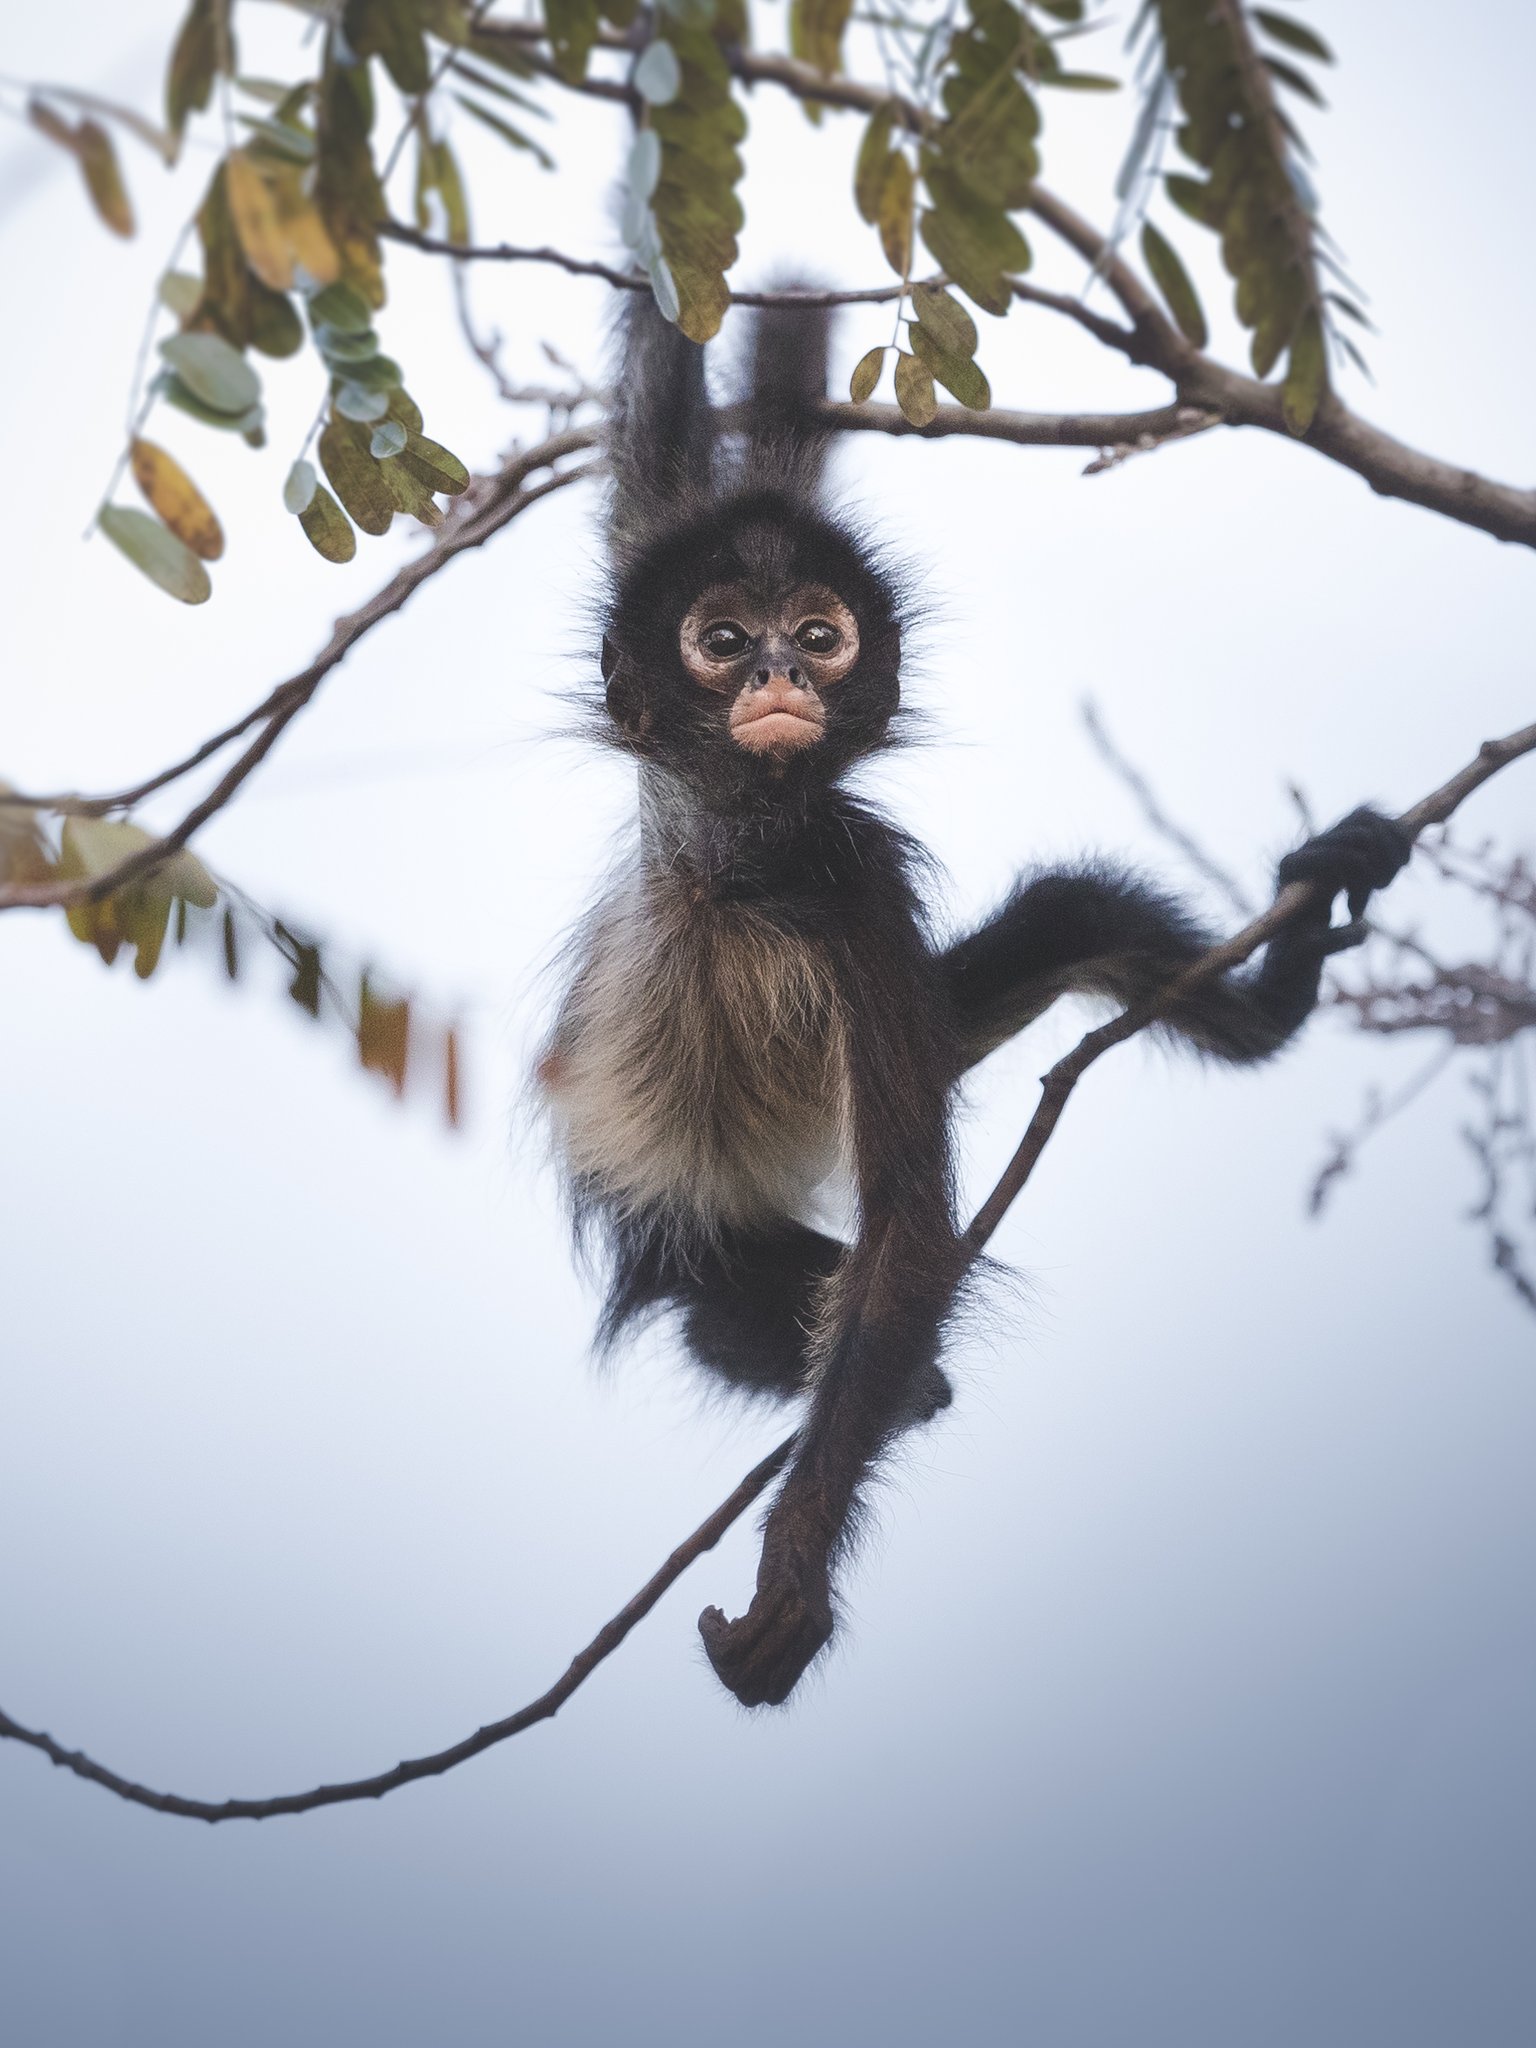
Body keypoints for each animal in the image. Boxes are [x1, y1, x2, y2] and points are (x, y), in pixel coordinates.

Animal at [537, 294, 1410, 1709]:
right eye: (722, 641)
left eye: (816, 636)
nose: (778, 674)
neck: (740, 853)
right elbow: (658, 456)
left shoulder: (860, 888)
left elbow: (904, 1239)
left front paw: (793, 1576)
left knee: (1069, 922)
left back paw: (1277, 996)